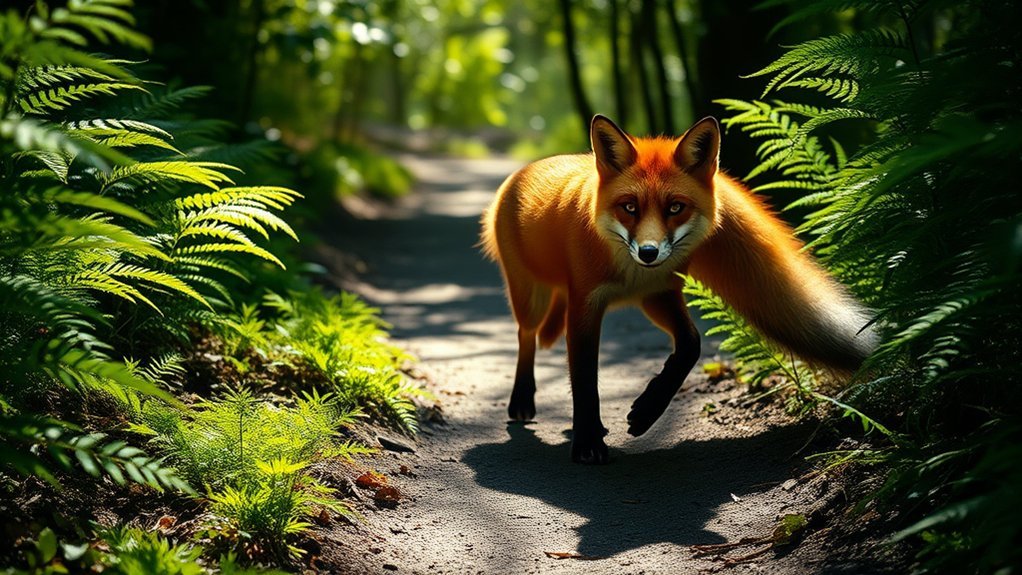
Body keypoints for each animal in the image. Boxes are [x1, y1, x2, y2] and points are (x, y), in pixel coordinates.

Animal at [479, 115, 878, 464]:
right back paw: (522, 399)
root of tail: (522, 171)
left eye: (675, 208)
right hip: (530, 295)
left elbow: (691, 344)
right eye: (629, 207)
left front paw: (647, 411)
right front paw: (588, 442)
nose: (649, 252)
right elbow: (585, 382)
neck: (630, 274)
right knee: (526, 335)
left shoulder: (659, 293)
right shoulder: (584, 307)